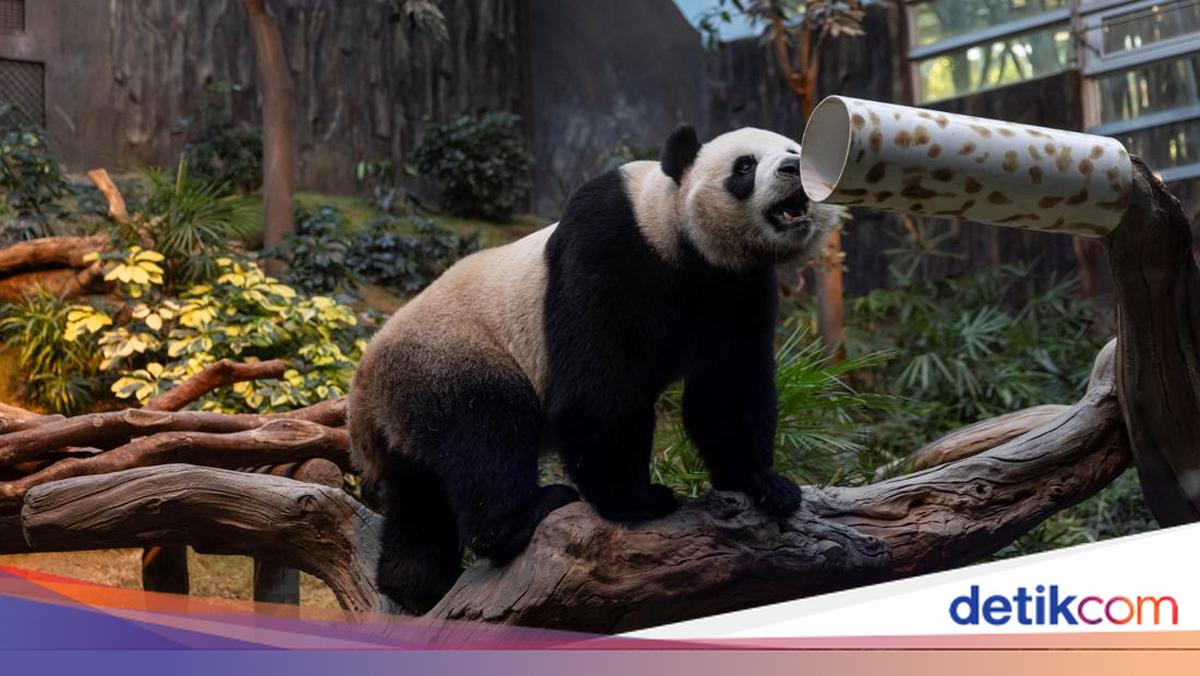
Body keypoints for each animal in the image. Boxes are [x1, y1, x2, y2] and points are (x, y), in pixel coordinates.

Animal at [348, 125, 840, 613]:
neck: (679, 236)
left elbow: (729, 390)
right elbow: (600, 389)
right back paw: (519, 519)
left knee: (419, 496)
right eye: (744, 166)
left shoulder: (738, 289)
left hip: (411, 402)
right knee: (485, 429)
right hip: (450, 354)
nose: (792, 168)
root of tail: (365, 398)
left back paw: (416, 584)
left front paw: (763, 484)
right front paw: (636, 500)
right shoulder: (612, 247)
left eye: (797, 150)